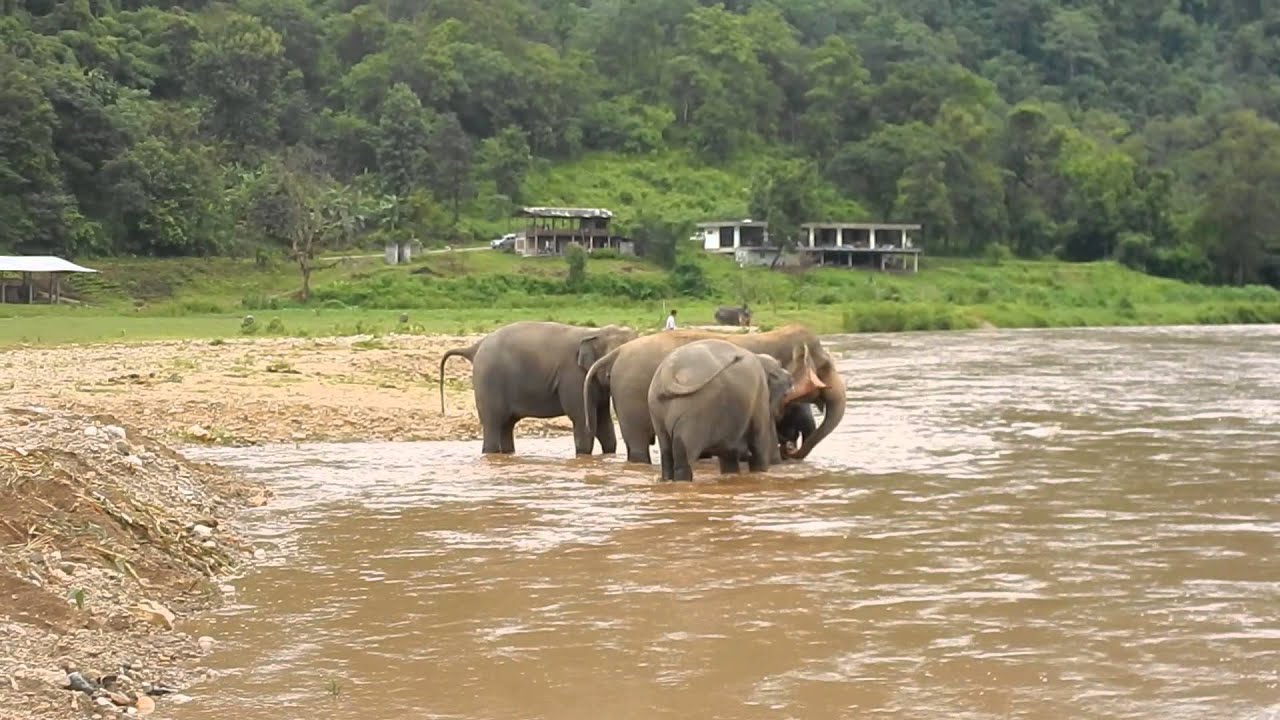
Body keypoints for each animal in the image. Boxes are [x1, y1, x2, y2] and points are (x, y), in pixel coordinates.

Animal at [439, 321, 637, 455]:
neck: (596, 332)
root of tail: (475, 347)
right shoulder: (573, 377)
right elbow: (583, 420)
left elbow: (605, 424)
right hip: (488, 381)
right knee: (493, 423)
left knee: (506, 425)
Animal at [648, 340, 801, 481]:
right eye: (786, 394)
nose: (790, 446)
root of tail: (669, 370)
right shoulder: (760, 400)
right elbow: (759, 449)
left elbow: (729, 457)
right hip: (693, 412)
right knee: (684, 457)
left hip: (657, 409)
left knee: (666, 453)